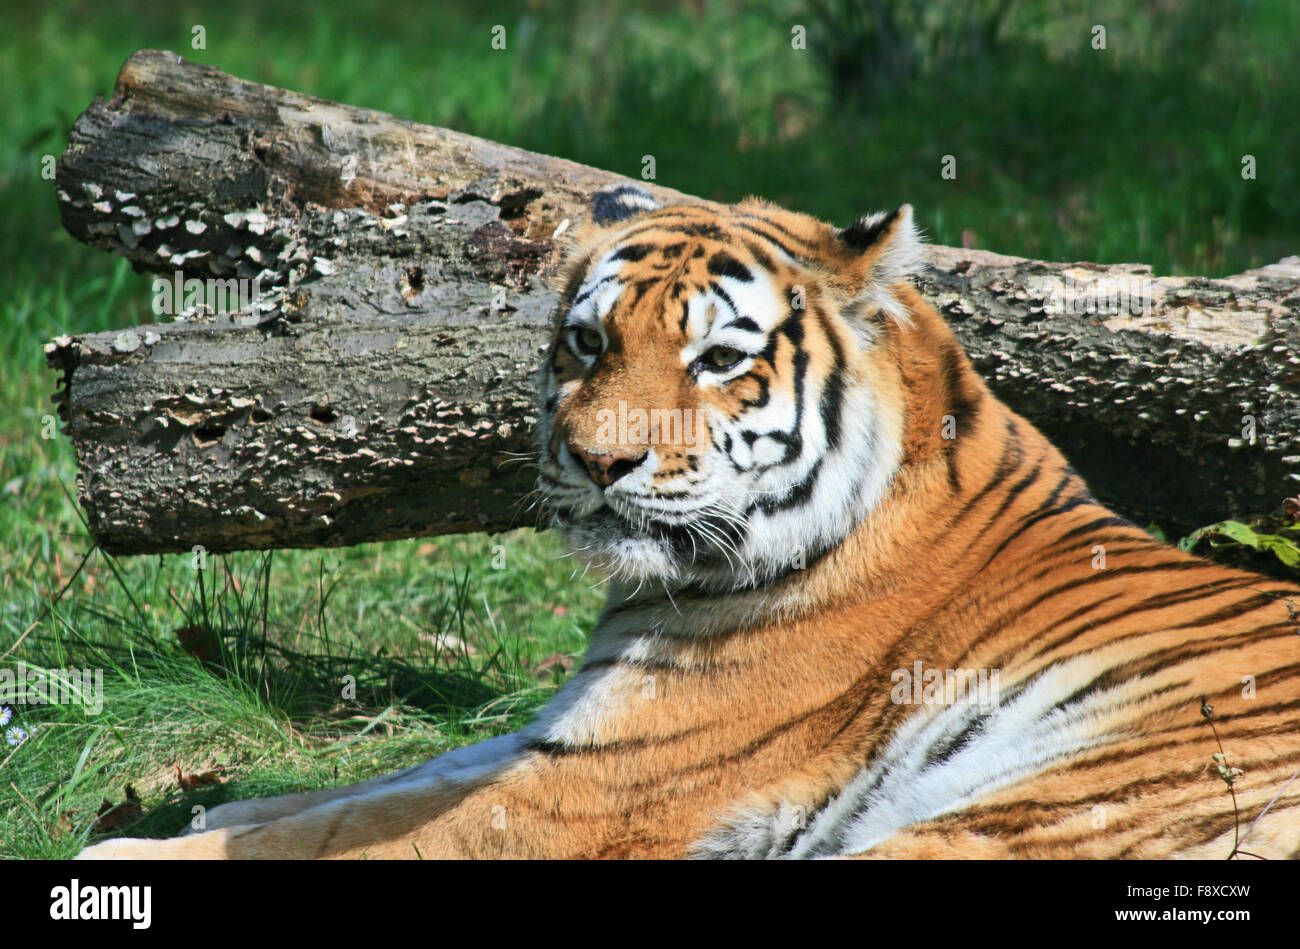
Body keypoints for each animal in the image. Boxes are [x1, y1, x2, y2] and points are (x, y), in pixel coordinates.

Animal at [78, 185, 1300, 860]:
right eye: (588, 343)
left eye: (717, 359)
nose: (596, 458)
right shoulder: (563, 734)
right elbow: (340, 794)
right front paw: (199, 811)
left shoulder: (577, 791)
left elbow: (327, 841)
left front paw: (140, 845)